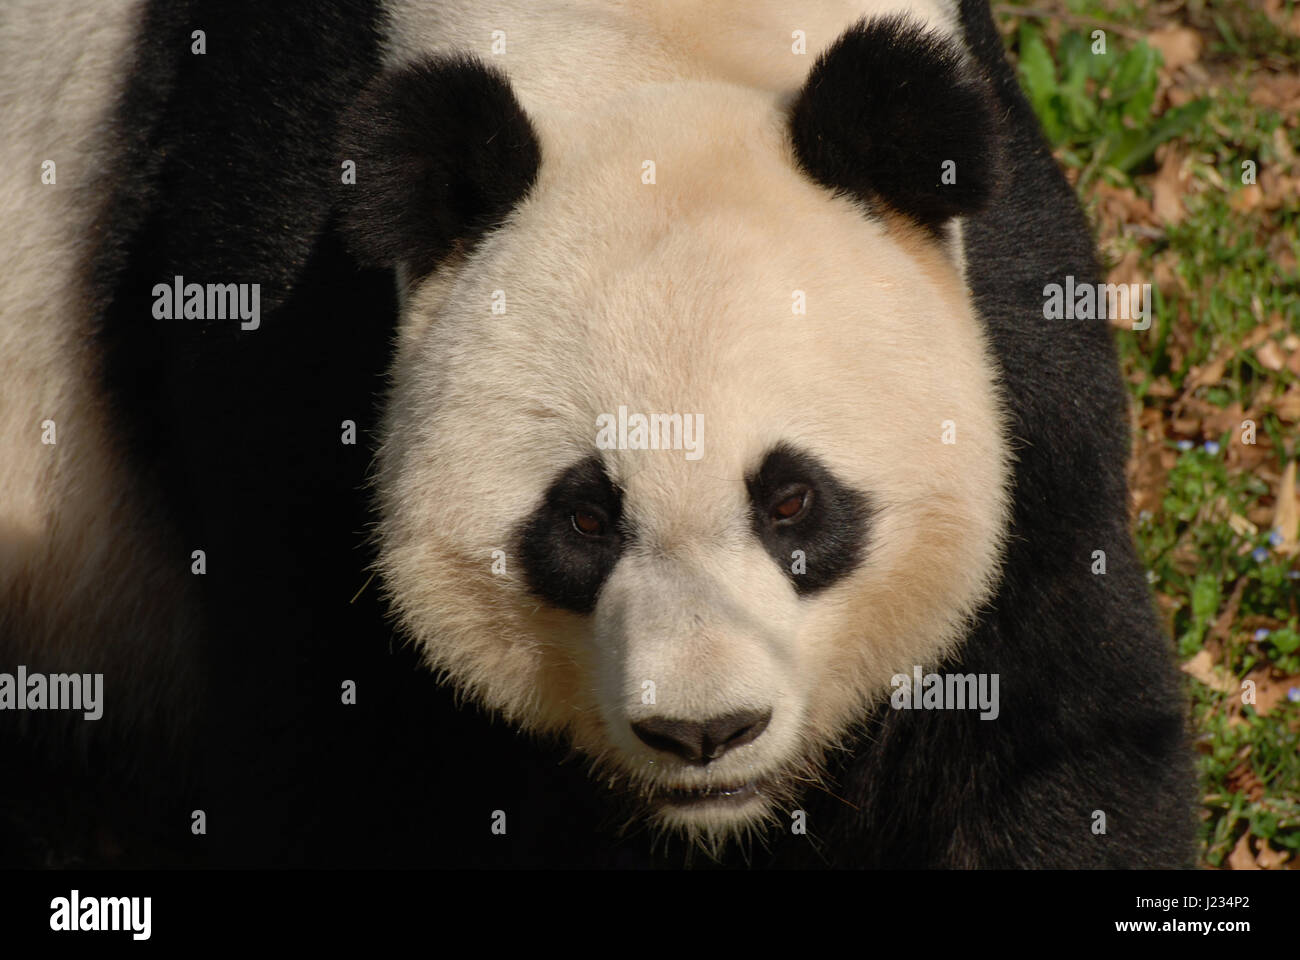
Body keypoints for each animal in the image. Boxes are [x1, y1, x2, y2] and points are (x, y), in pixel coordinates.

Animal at [0, 0, 1194, 868]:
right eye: (583, 518)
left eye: (792, 500)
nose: (706, 733)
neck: (645, 45)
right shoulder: (275, 308)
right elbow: (339, 765)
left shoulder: (1013, 328)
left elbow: (1053, 738)